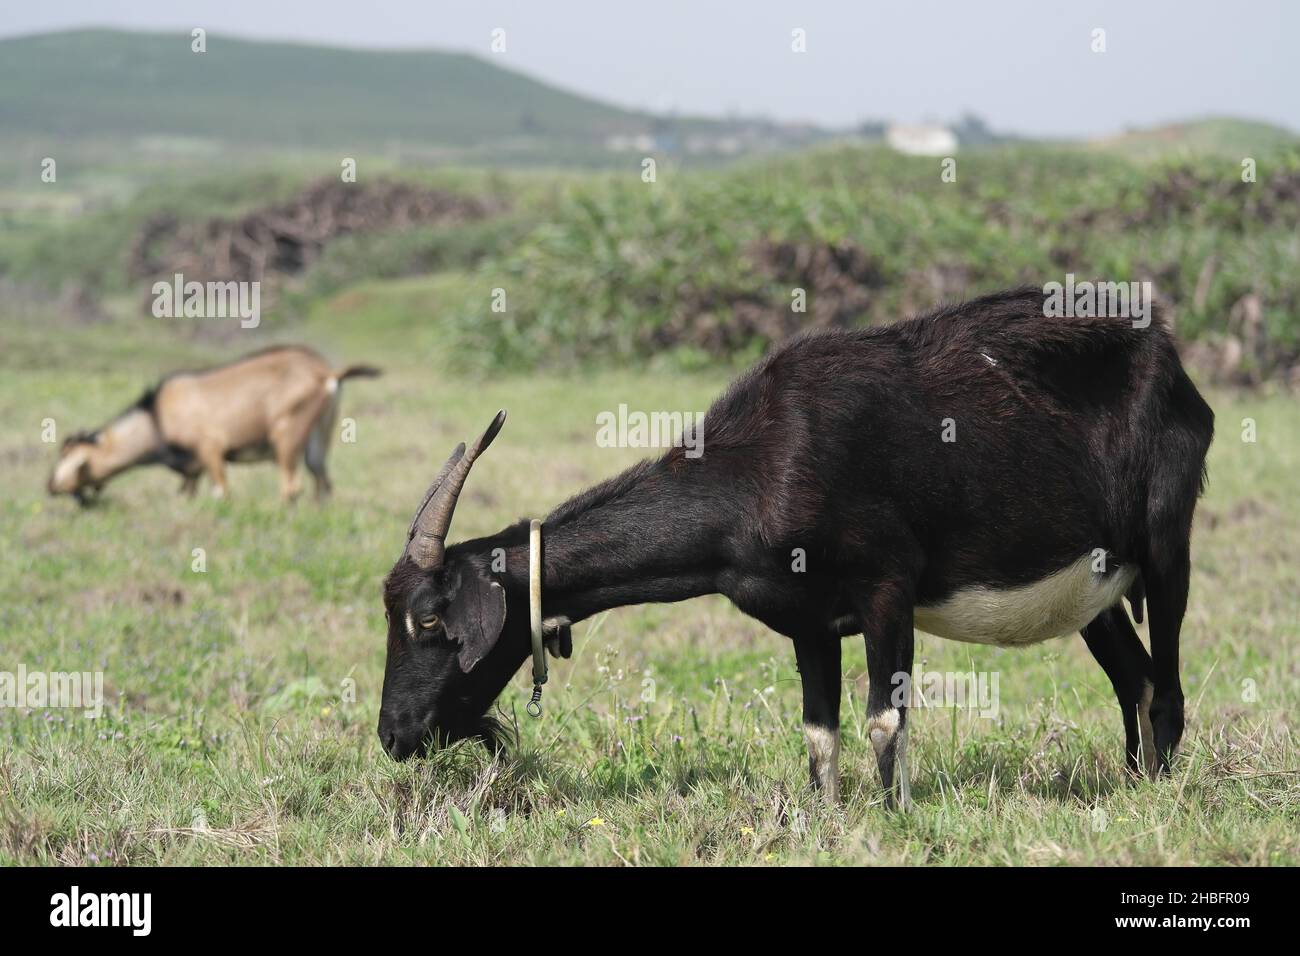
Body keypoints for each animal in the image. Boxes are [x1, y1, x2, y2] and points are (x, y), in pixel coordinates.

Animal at [48, 345, 380, 503]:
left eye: (67, 456)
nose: (51, 486)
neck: (157, 419)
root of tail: (327, 373)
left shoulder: (211, 449)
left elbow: (221, 492)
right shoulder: (192, 469)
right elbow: (187, 492)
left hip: (286, 436)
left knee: (291, 486)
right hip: (319, 436)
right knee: (322, 480)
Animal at [376, 288, 1213, 807]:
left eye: (430, 619)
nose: (393, 735)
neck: (765, 464)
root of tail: (1173, 363)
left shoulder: (887, 588)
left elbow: (884, 719)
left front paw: (892, 819)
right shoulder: (808, 619)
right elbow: (819, 730)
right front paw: (827, 819)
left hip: (1166, 540)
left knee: (1168, 683)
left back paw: (1161, 798)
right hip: (1093, 584)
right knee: (1133, 680)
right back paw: (1132, 785)